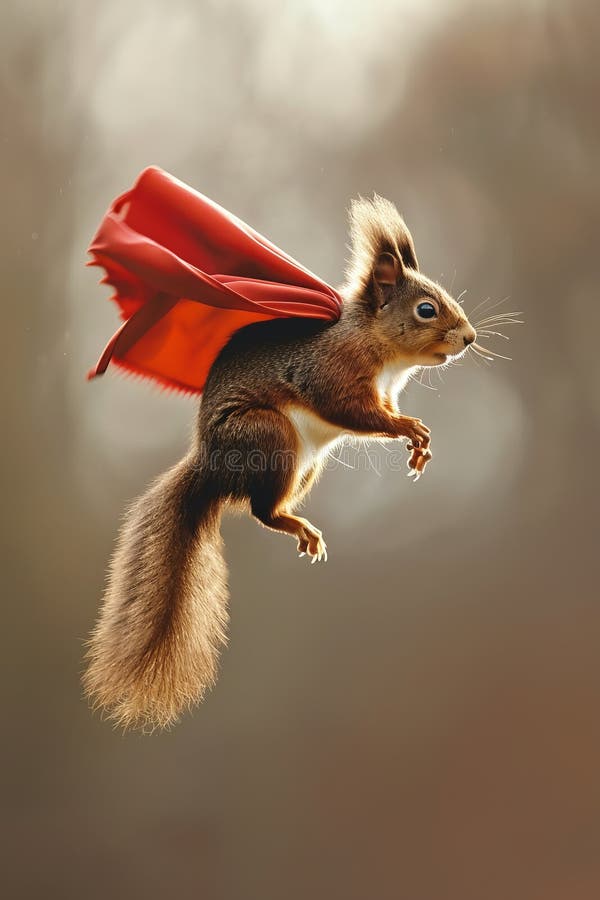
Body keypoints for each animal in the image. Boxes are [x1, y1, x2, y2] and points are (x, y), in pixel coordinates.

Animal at [83, 194, 477, 731]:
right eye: (426, 309)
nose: (470, 337)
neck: (379, 348)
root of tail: (211, 467)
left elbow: (382, 410)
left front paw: (419, 442)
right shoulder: (333, 372)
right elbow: (351, 409)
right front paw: (408, 429)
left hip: (306, 466)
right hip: (270, 438)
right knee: (260, 510)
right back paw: (298, 527)